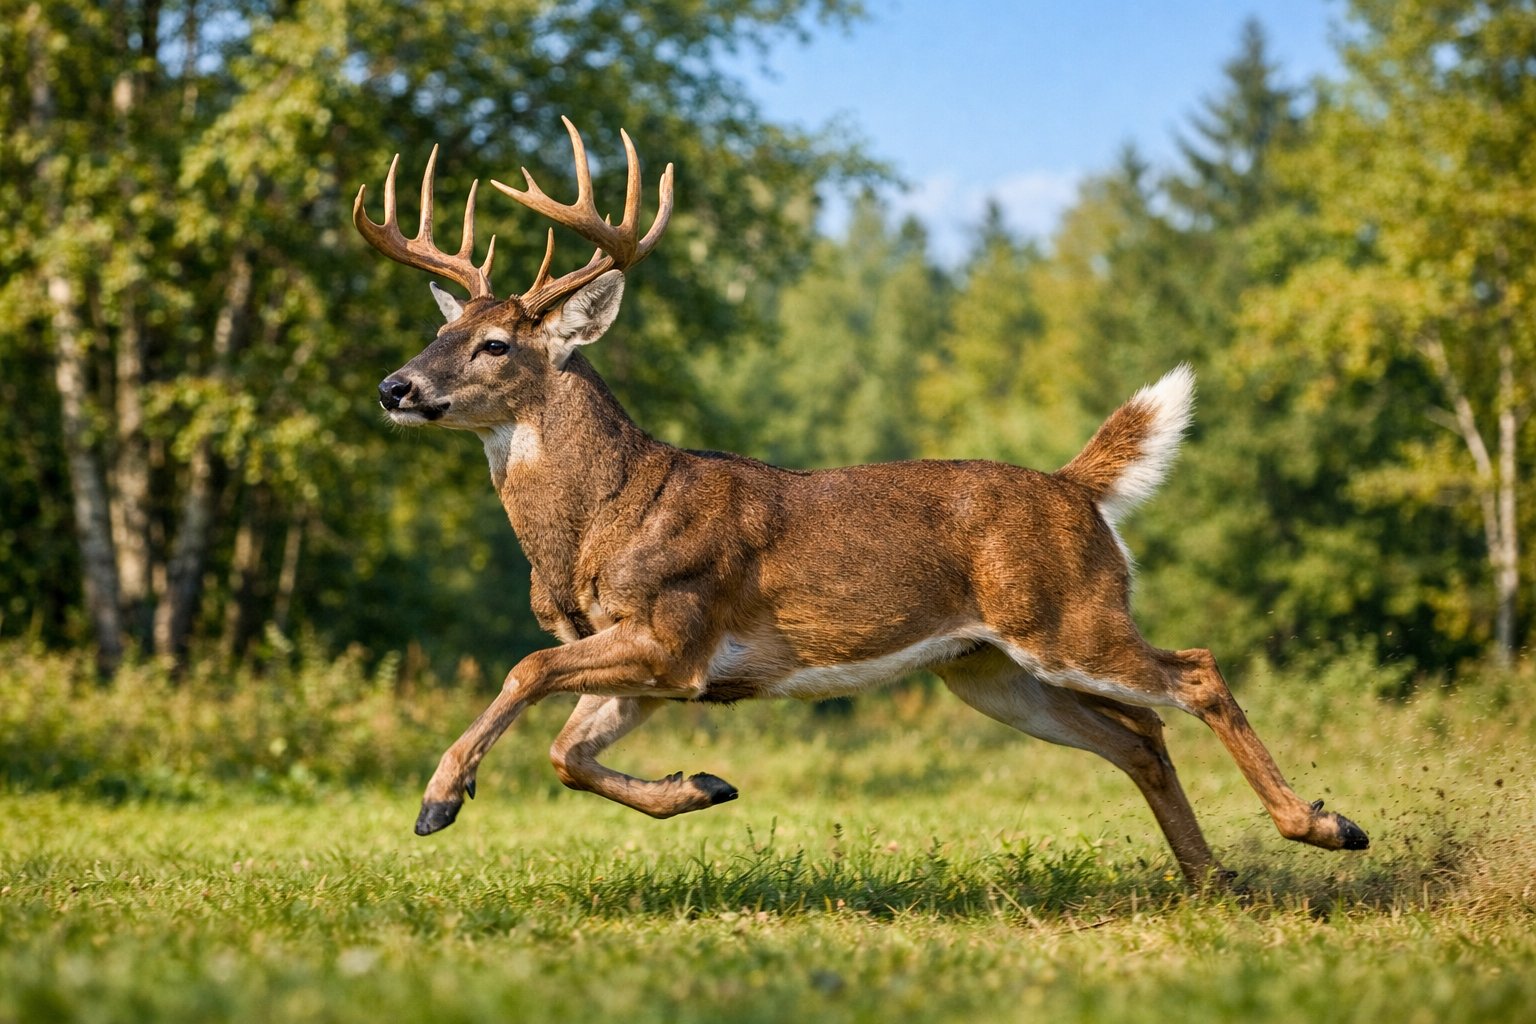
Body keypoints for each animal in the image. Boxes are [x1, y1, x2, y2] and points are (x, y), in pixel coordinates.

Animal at [352, 117, 1368, 887]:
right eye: (442, 328)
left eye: (494, 345)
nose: (395, 386)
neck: (605, 518)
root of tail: (1077, 488)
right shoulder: (660, 668)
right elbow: (569, 755)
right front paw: (701, 785)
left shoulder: (675, 631)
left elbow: (524, 670)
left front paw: (437, 800)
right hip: (989, 669)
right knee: (1142, 736)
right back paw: (1210, 877)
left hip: (1067, 619)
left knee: (1193, 673)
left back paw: (1325, 828)